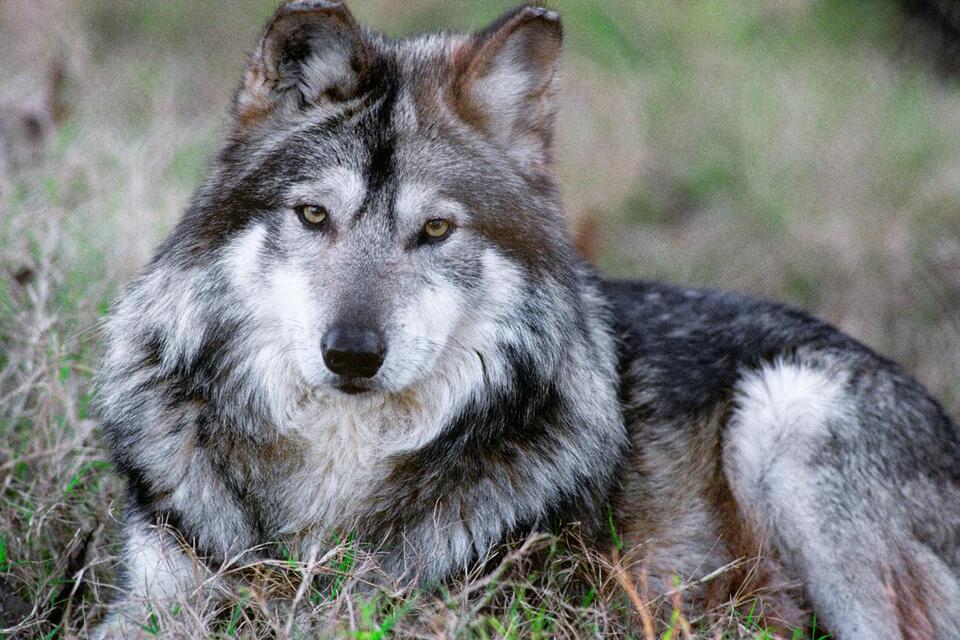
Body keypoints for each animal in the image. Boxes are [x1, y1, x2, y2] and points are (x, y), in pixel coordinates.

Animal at [95, 2, 960, 637]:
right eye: (313, 216)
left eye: (435, 230)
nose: (351, 354)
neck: (334, 485)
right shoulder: (157, 596)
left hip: (791, 420)